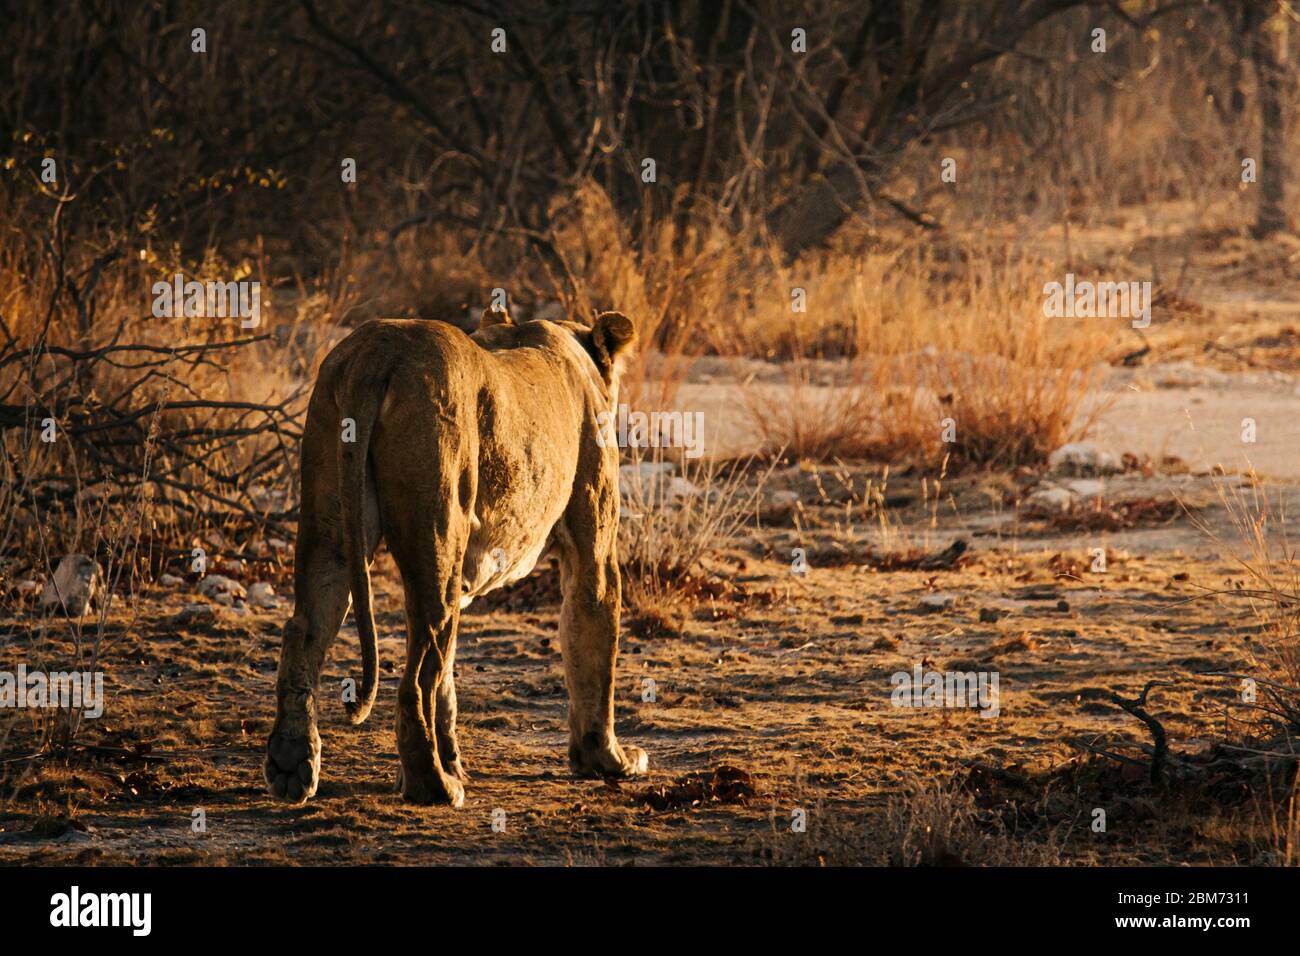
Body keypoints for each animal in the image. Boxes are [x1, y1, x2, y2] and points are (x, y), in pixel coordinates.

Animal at [263, 308, 648, 806]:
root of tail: (379, 348)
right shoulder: (593, 545)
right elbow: (595, 641)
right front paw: (608, 758)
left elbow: (448, 679)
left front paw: (454, 761)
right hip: (441, 524)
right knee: (416, 677)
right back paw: (433, 786)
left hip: (331, 515)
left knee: (306, 631)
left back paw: (293, 764)